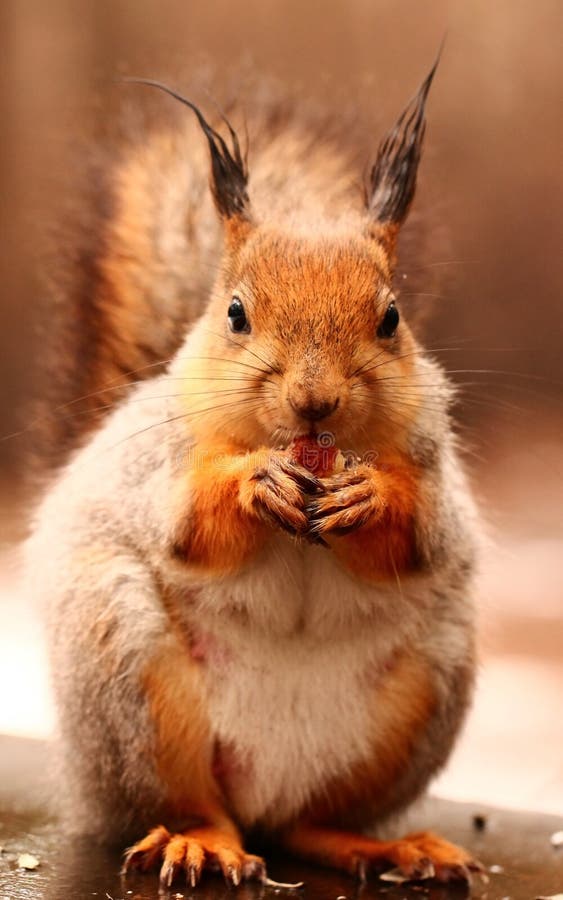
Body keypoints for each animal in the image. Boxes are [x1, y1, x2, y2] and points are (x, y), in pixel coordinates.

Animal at [25, 60, 483, 888]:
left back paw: (386, 847)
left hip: (424, 688)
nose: (314, 400)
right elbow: (186, 525)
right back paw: (200, 842)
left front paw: (371, 495)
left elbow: (421, 536)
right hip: (128, 679)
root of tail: (261, 793)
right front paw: (251, 485)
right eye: (235, 314)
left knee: (311, 825)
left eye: (390, 318)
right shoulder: (162, 464)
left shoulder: (432, 464)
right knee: (194, 806)